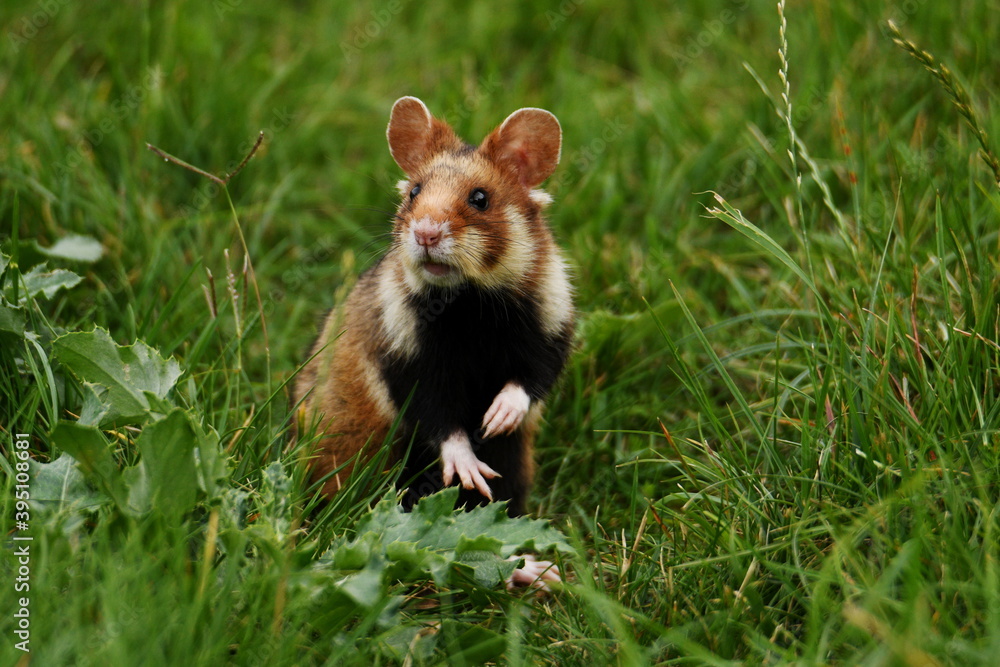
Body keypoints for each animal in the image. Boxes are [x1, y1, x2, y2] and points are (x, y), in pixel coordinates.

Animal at [294, 96, 574, 518]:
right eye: (414, 191)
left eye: (480, 198)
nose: (425, 233)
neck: (470, 302)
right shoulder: (405, 361)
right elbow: (440, 421)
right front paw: (470, 473)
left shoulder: (552, 330)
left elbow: (528, 380)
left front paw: (495, 420)